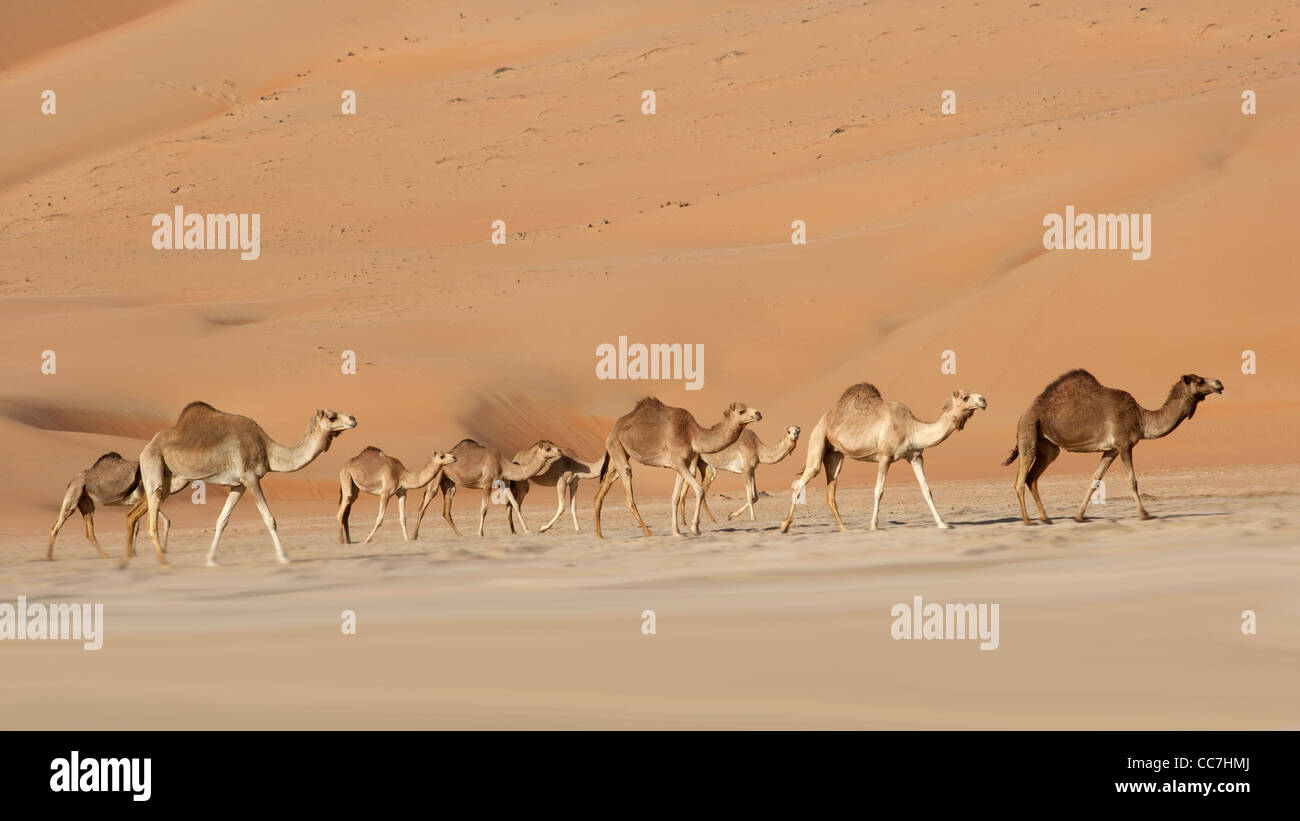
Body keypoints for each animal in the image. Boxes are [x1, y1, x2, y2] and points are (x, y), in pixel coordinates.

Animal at [123, 402, 357, 567]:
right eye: (332, 416)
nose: (353, 418)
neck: (268, 450)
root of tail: (146, 448)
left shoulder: (239, 484)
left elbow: (222, 520)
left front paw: (211, 559)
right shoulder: (251, 478)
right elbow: (270, 519)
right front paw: (284, 557)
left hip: (174, 480)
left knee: (134, 512)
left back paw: (126, 560)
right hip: (154, 465)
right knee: (151, 522)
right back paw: (163, 563)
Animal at [410, 439, 561, 538]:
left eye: (554, 445)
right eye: (548, 448)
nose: (560, 451)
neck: (503, 465)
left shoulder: (505, 483)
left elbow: (515, 505)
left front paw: (528, 530)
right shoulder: (487, 483)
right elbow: (484, 509)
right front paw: (480, 533)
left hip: (448, 483)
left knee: (446, 510)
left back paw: (461, 536)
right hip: (436, 477)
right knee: (424, 505)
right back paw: (414, 536)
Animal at [593, 398, 762, 538]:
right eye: (741, 411)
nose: (758, 413)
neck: (692, 435)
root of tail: (613, 429)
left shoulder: (682, 465)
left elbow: (674, 497)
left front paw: (677, 531)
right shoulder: (679, 461)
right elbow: (699, 490)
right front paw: (695, 528)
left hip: (617, 455)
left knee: (602, 490)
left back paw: (600, 535)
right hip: (616, 446)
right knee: (628, 487)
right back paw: (647, 532)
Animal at [780, 384, 986, 533]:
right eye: (965, 397)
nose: (983, 399)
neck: (911, 428)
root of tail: (822, 419)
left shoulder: (915, 457)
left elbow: (926, 490)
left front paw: (943, 523)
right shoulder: (885, 456)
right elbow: (878, 491)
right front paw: (873, 525)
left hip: (834, 454)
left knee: (831, 492)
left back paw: (844, 529)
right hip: (817, 440)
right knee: (801, 483)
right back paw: (784, 526)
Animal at [1004, 369, 1223, 524]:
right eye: (1199, 380)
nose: (1219, 383)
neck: (1141, 419)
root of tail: (1024, 413)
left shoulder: (1111, 450)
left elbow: (1095, 479)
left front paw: (1079, 516)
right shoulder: (1124, 444)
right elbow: (1132, 481)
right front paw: (1145, 514)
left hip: (1049, 447)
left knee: (1032, 478)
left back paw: (1045, 518)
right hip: (1028, 434)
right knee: (1020, 479)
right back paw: (1028, 521)